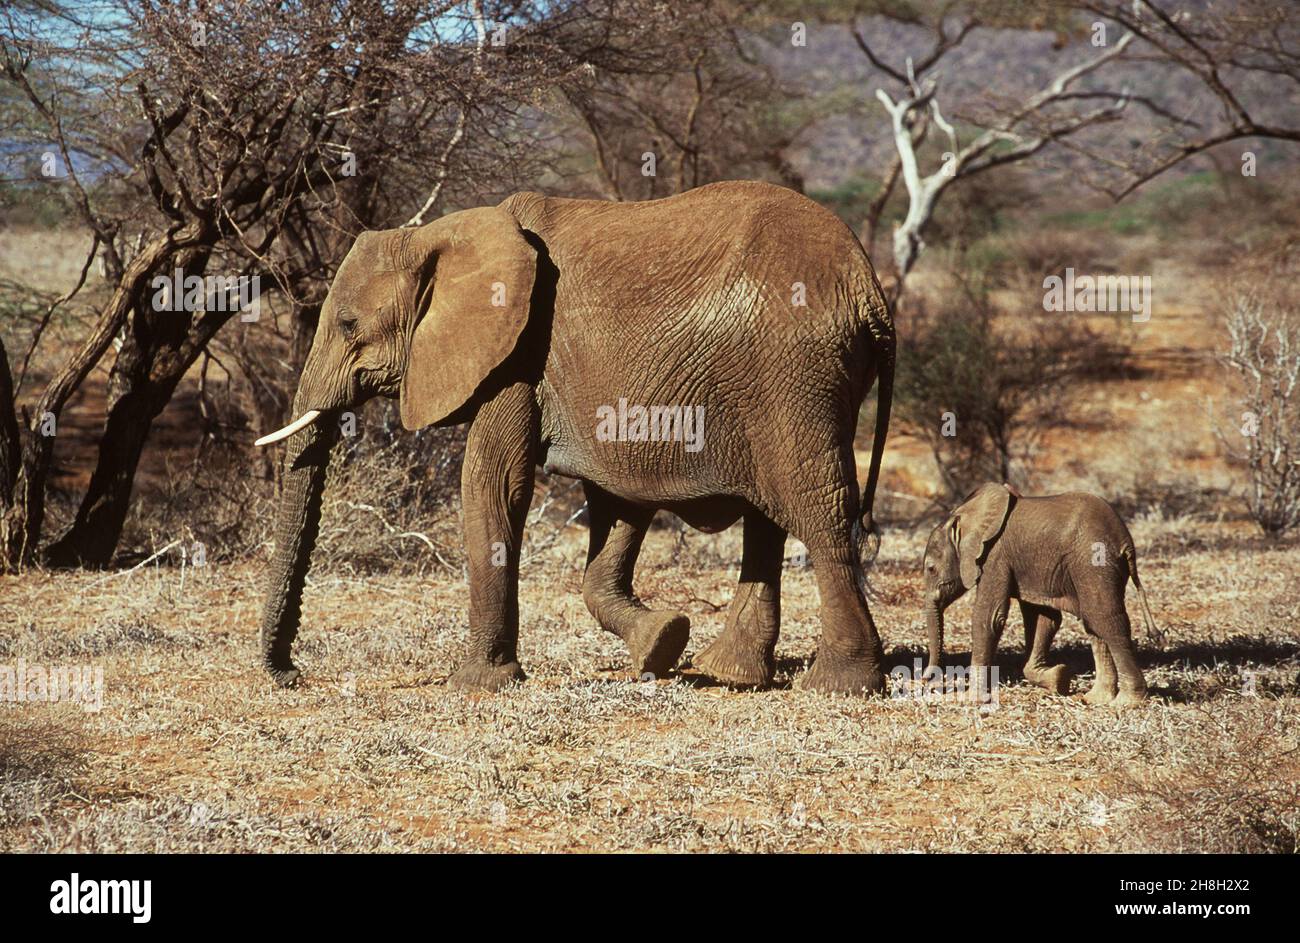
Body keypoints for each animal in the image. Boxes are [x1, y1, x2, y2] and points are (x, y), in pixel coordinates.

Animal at [254, 180, 895, 695]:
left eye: (348, 325)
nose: (290, 675)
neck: (441, 234)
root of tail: (869, 290)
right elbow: (617, 504)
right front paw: (662, 642)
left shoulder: (516, 355)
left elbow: (493, 485)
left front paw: (478, 684)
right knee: (769, 520)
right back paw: (729, 673)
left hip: (795, 374)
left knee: (818, 511)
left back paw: (837, 687)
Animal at [920, 483, 1155, 705]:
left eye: (931, 568)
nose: (926, 680)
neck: (966, 512)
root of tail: (1126, 542)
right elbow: (1044, 619)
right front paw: (1060, 677)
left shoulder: (994, 556)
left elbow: (989, 617)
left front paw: (970, 698)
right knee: (1093, 623)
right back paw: (1096, 698)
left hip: (1095, 561)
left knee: (1106, 619)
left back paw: (1126, 701)